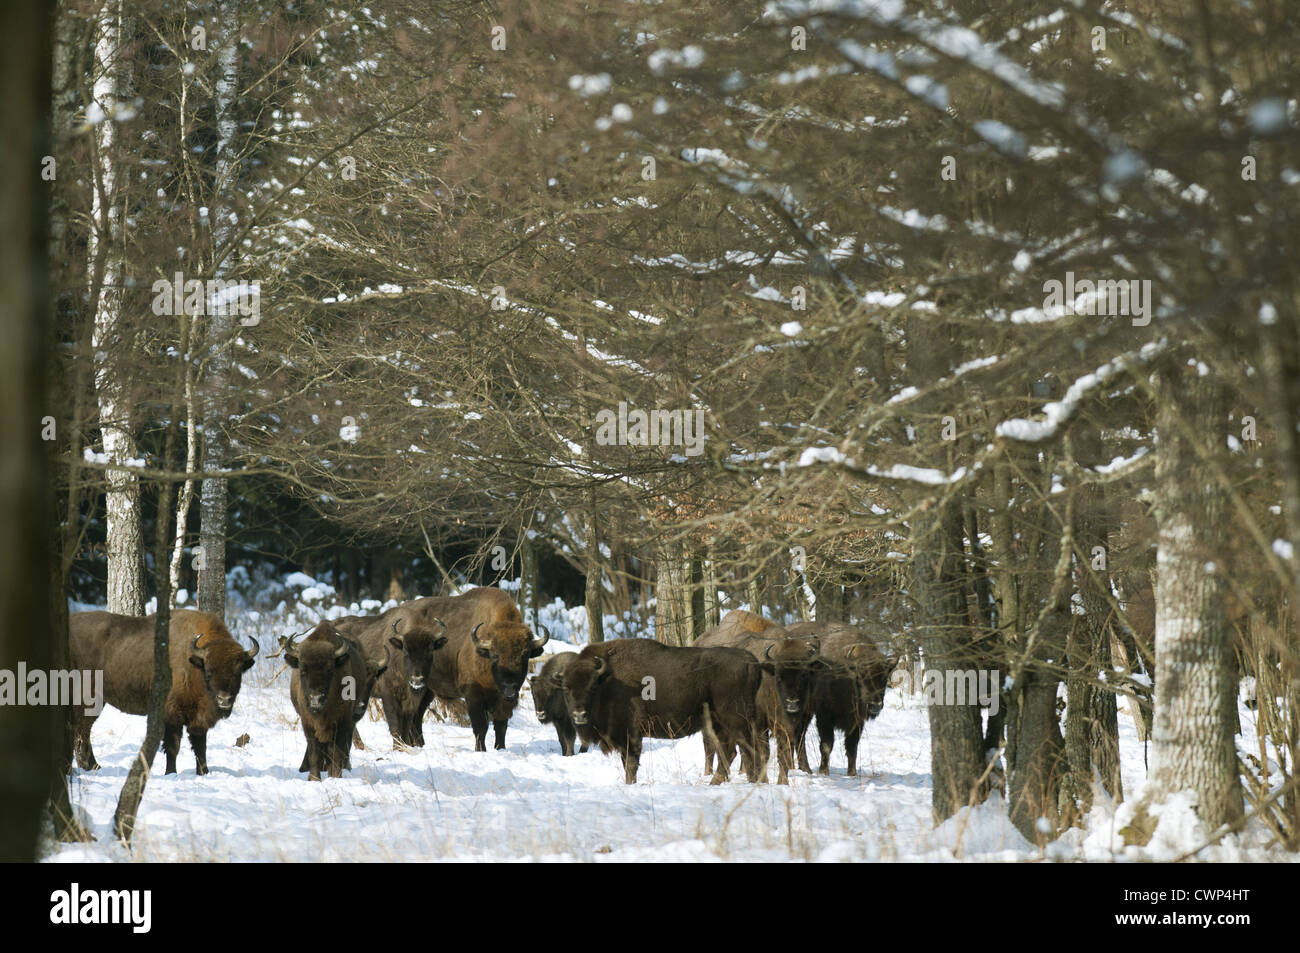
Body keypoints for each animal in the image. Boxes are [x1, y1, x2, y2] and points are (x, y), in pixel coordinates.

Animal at [69, 609, 259, 775]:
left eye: (238, 672)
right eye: (209, 671)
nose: (224, 699)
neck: (194, 665)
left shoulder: (198, 720)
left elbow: (200, 747)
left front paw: (203, 773)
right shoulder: (172, 715)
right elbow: (173, 746)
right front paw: (171, 772)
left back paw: (93, 767)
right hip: (87, 699)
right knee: (81, 732)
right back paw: (90, 767)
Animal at [560, 639, 763, 784]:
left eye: (592, 687)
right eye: (566, 688)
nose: (579, 715)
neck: (608, 680)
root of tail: (751, 662)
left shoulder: (631, 735)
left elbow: (630, 764)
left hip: (735, 720)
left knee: (746, 749)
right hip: (719, 723)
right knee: (731, 752)